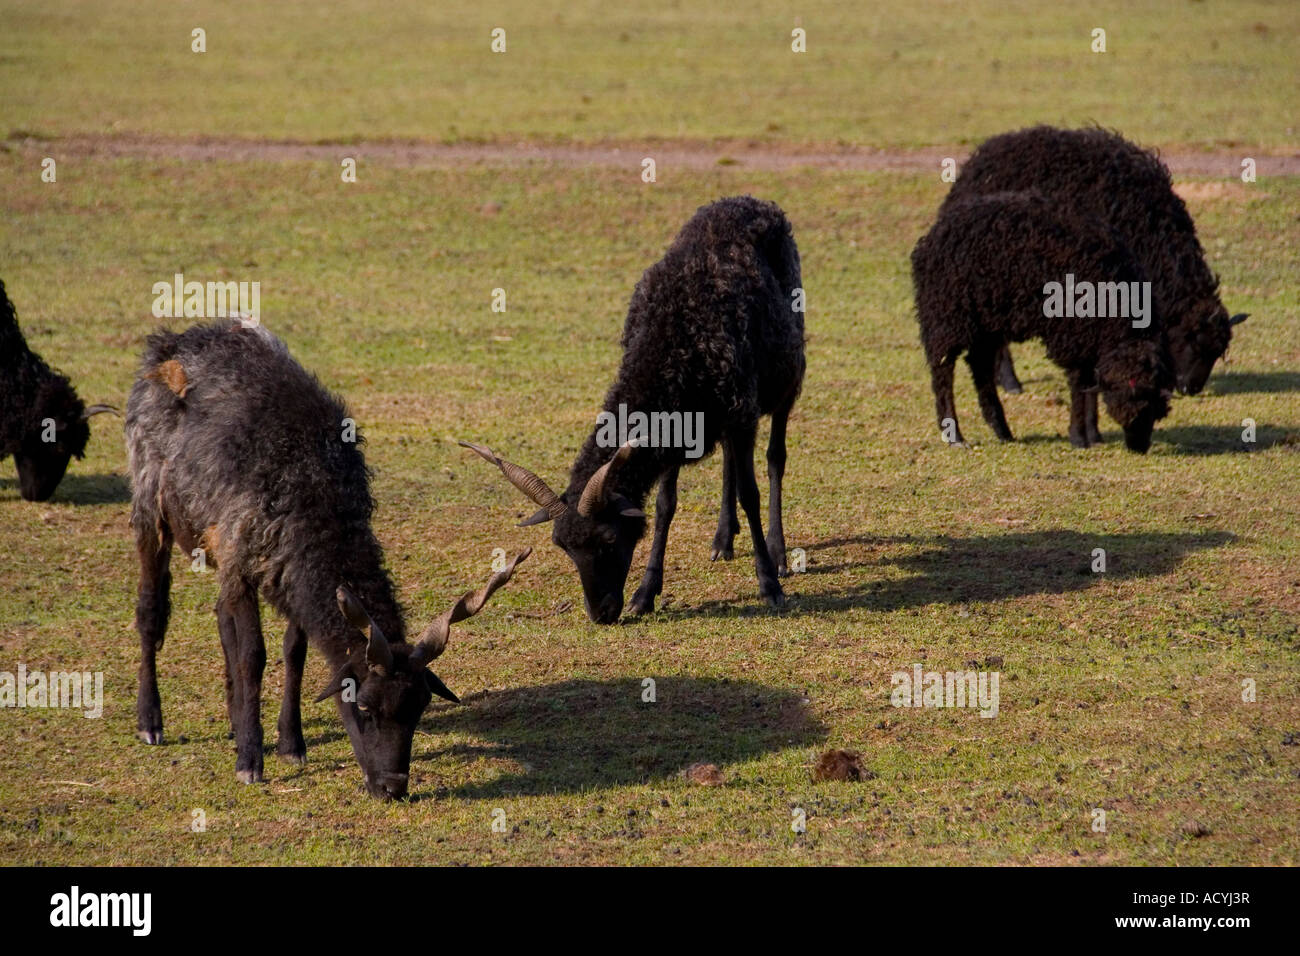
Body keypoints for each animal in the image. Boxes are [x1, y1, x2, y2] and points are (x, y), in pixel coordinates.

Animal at [122, 321, 527, 801]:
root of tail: (170, 339)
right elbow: (253, 656)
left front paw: (290, 744)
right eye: (364, 706)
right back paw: (151, 723)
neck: (313, 496)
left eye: (420, 706)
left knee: (220, 616)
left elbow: (294, 650)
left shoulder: (287, 571)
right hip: (151, 505)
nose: (392, 788)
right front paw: (250, 762)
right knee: (151, 610)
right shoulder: (243, 550)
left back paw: (232, 720)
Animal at [457, 197, 800, 624]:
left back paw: (779, 552)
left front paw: (770, 585)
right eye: (562, 545)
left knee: (774, 458)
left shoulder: (739, 413)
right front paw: (646, 592)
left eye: (607, 538)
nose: (600, 613)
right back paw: (722, 540)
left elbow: (749, 494)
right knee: (728, 464)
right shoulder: (678, 429)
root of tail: (748, 200)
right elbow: (665, 505)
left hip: (788, 375)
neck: (674, 346)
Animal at [915, 192, 1180, 455]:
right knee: (943, 372)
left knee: (981, 370)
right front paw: (1079, 437)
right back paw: (955, 435)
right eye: (1140, 406)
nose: (1139, 447)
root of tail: (935, 232)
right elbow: (1079, 386)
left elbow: (1089, 385)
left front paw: (1093, 435)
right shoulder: (1074, 337)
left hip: (987, 325)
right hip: (947, 316)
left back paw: (1003, 431)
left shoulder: (1089, 339)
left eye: (1156, 406)